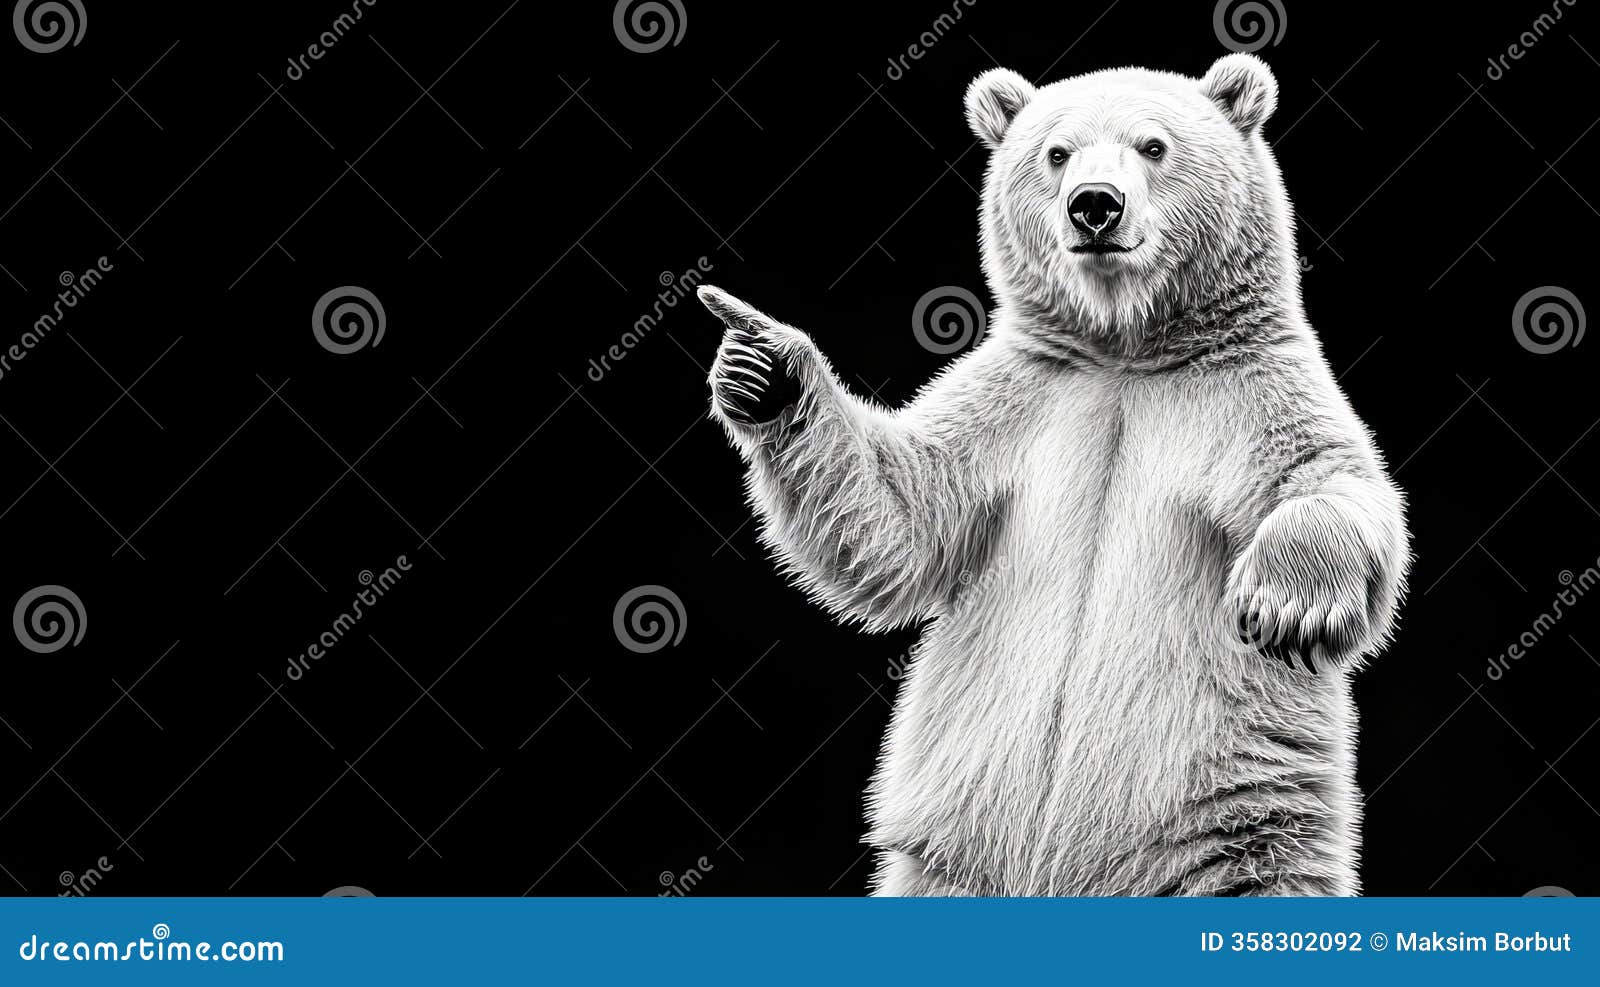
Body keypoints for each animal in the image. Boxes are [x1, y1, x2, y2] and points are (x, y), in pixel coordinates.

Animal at [698, 53, 1409, 896]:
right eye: (1057, 152)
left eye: (1153, 145)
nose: (1094, 205)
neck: (1125, 352)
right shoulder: (1019, 405)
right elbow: (901, 520)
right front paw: (763, 365)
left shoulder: (1246, 392)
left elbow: (1326, 476)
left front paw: (1284, 602)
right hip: (954, 851)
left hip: (1236, 819)